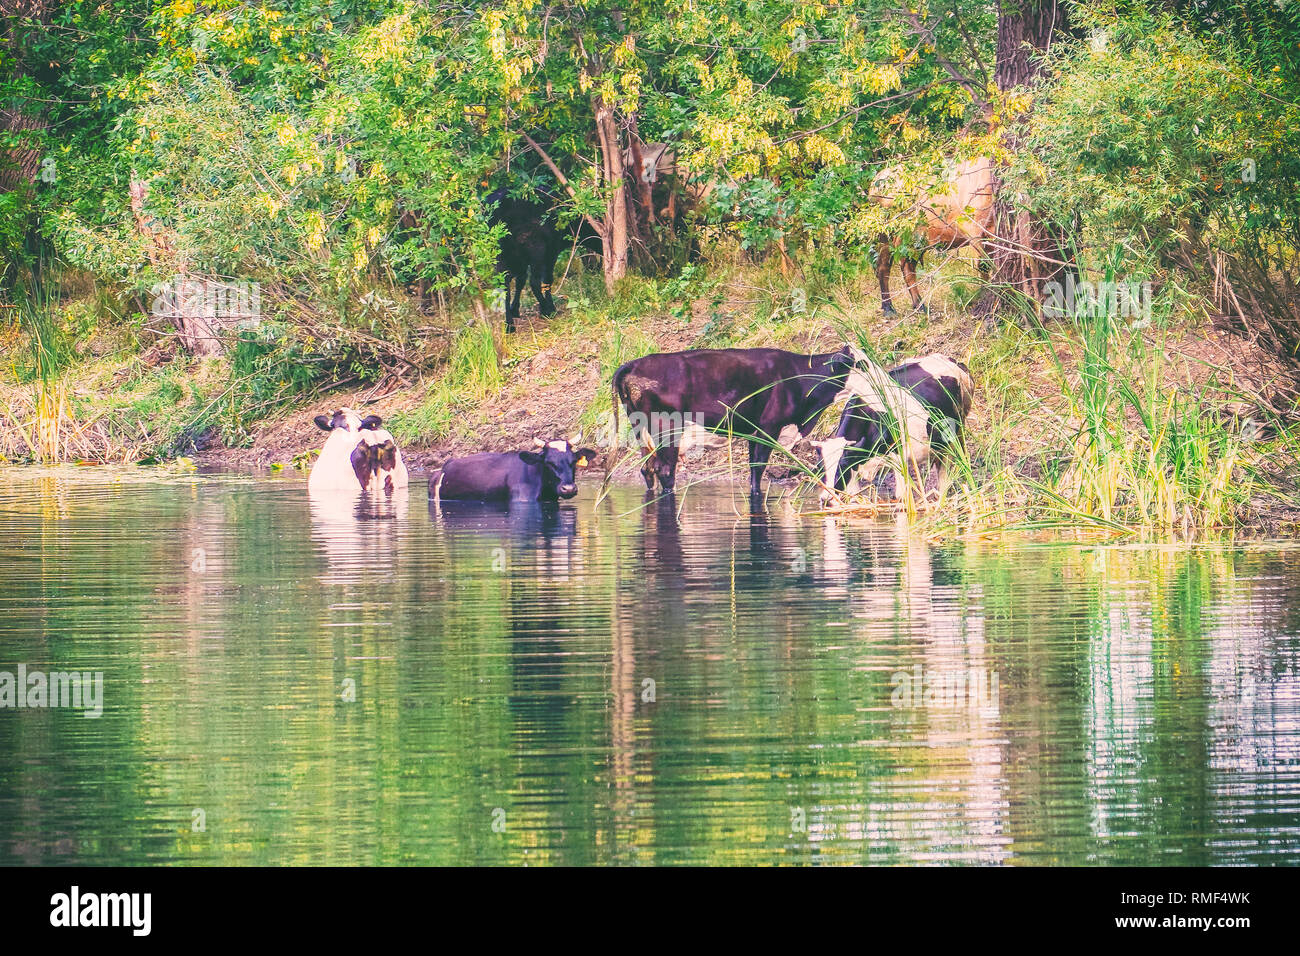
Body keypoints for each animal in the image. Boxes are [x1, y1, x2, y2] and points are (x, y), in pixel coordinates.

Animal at [488, 187, 564, 333]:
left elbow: (520, 281)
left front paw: (514, 309)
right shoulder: (551, 251)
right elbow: (547, 280)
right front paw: (548, 306)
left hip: (499, 253)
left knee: (505, 286)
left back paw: (509, 325)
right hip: (536, 248)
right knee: (534, 282)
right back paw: (547, 310)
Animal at [612, 345, 857, 496]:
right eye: (861, 363)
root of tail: (632, 364)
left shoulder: (754, 432)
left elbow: (753, 468)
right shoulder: (769, 426)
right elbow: (759, 467)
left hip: (641, 430)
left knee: (647, 469)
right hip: (667, 429)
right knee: (664, 470)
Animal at [812, 354, 973, 503]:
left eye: (841, 467)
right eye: (820, 469)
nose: (825, 499)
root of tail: (950, 359)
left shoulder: (898, 456)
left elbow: (902, 496)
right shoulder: (855, 466)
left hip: (958, 426)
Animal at [871, 156, 995, 314]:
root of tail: (876, 181)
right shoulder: (973, 230)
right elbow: (984, 266)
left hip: (914, 243)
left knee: (907, 268)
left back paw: (918, 305)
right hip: (887, 236)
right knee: (884, 266)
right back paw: (890, 308)